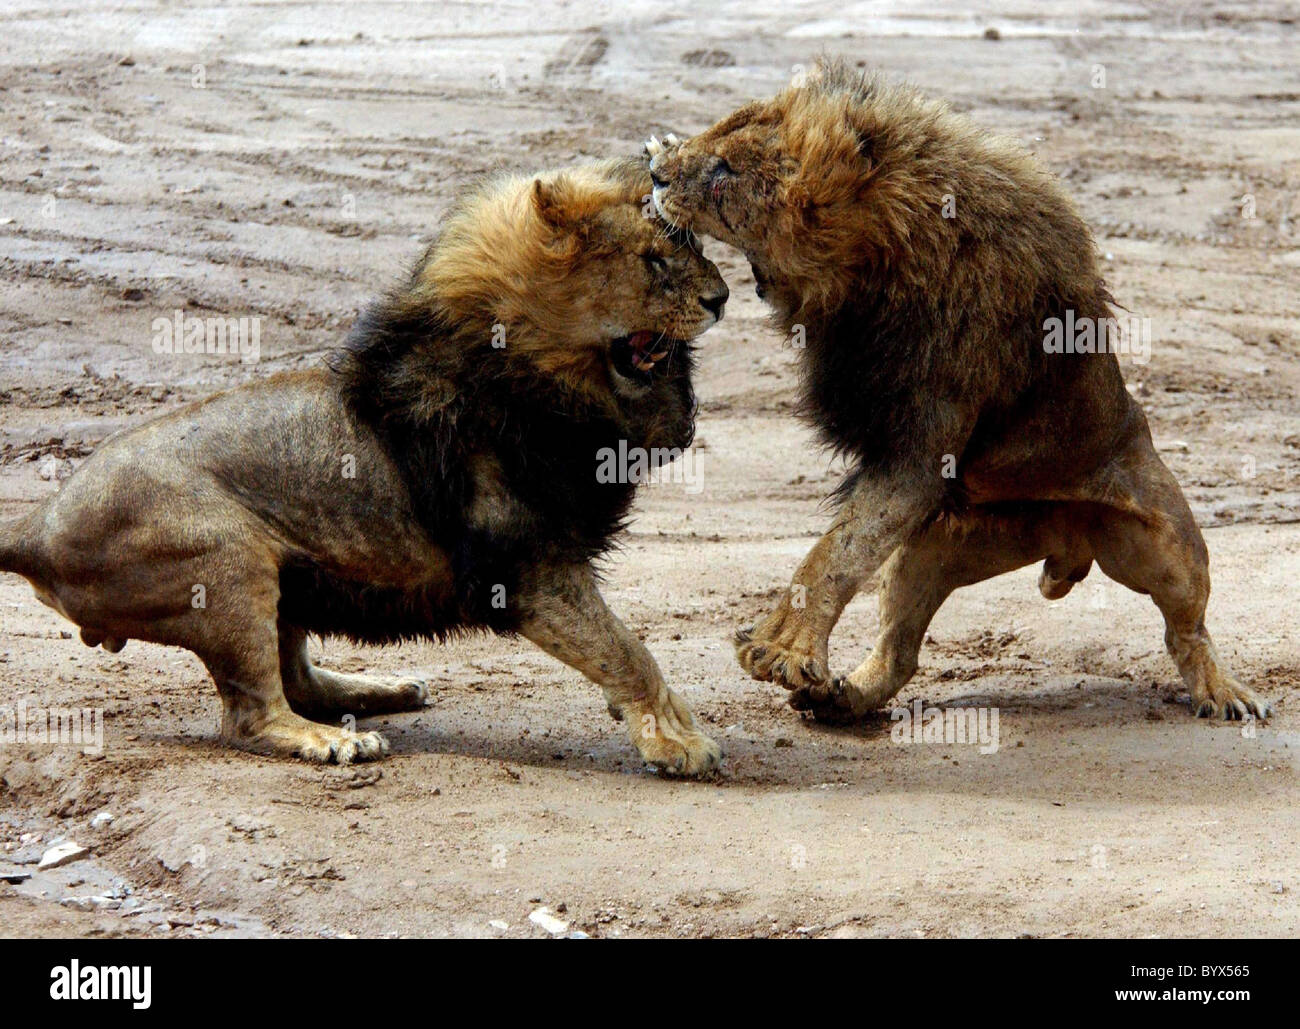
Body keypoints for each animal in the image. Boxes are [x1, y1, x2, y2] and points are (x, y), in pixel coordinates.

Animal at [0, 157, 730, 773]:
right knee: (253, 714)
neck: (545, 373)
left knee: (296, 678)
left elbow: (620, 647)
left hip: (280, 578)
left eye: (695, 251)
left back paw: (379, 690)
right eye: (654, 261)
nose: (722, 298)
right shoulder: (526, 567)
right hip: (225, 557)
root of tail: (36, 523)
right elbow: (627, 650)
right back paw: (333, 741)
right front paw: (678, 742)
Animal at [646, 60, 1270, 723]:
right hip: (937, 550)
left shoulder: (922, 448)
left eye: (725, 170)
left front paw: (780, 652)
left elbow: (835, 554)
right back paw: (840, 698)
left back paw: (1223, 693)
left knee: (1187, 626)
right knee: (899, 651)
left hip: (1169, 542)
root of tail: (1069, 541)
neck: (873, 262)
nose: (654, 174)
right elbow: (844, 551)